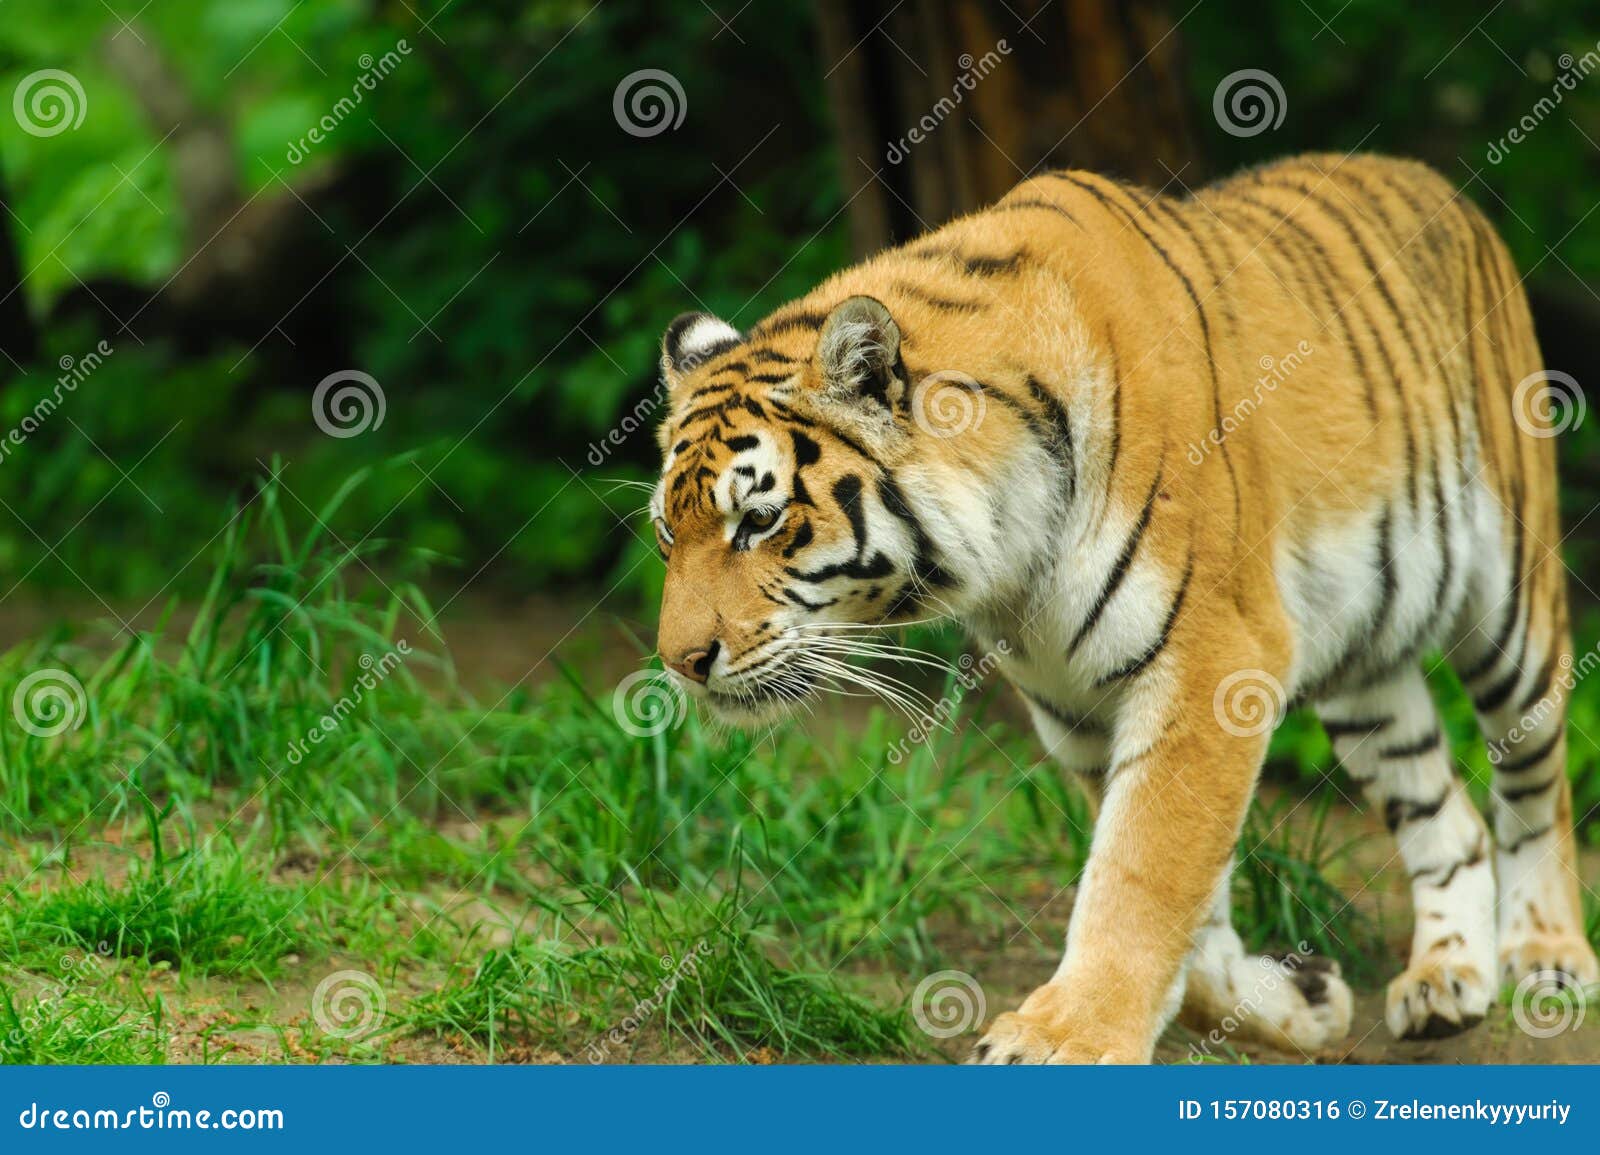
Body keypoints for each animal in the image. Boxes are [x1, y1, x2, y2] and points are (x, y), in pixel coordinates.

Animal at [646, 152, 1599, 1063]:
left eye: (758, 520)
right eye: (665, 533)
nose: (679, 663)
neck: (1010, 568)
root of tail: (1438, 182)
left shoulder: (1214, 664)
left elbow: (1143, 872)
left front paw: (1065, 1037)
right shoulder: (1079, 703)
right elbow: (1189, 913)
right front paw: (1301, 1006)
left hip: (1511, 607)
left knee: (1534, 779)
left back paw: (1548, 957)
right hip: (1365, 665)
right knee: (1446, 814)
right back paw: (1446, 980)